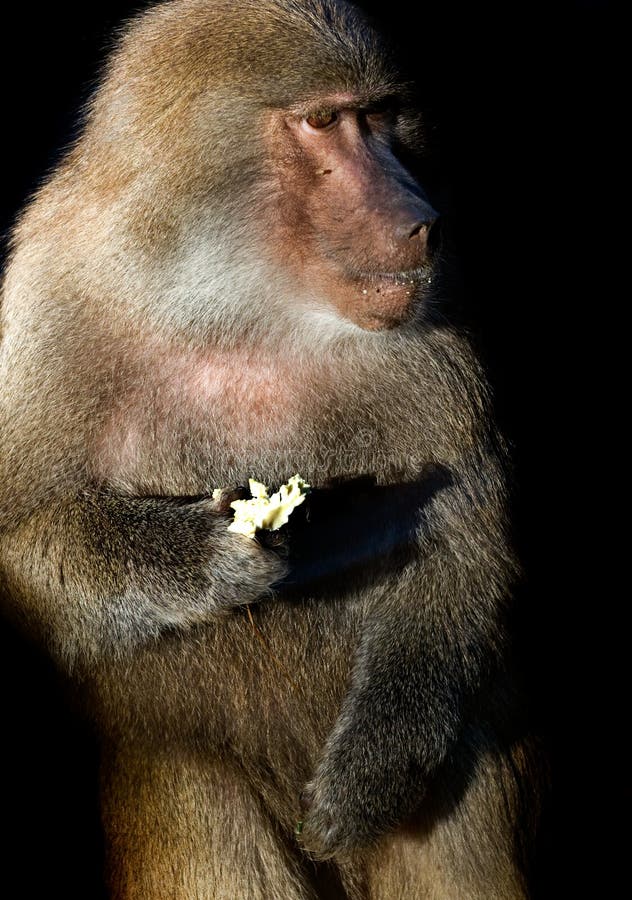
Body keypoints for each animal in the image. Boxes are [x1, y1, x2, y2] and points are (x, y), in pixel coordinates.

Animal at [0, 1, 543, 898]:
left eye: (381, 114)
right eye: (323, 122)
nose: (422, 219)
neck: (235, 297)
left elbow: (463, 530)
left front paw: (376, 769)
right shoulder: (46, 307)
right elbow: (15, 549)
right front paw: (201, 557)